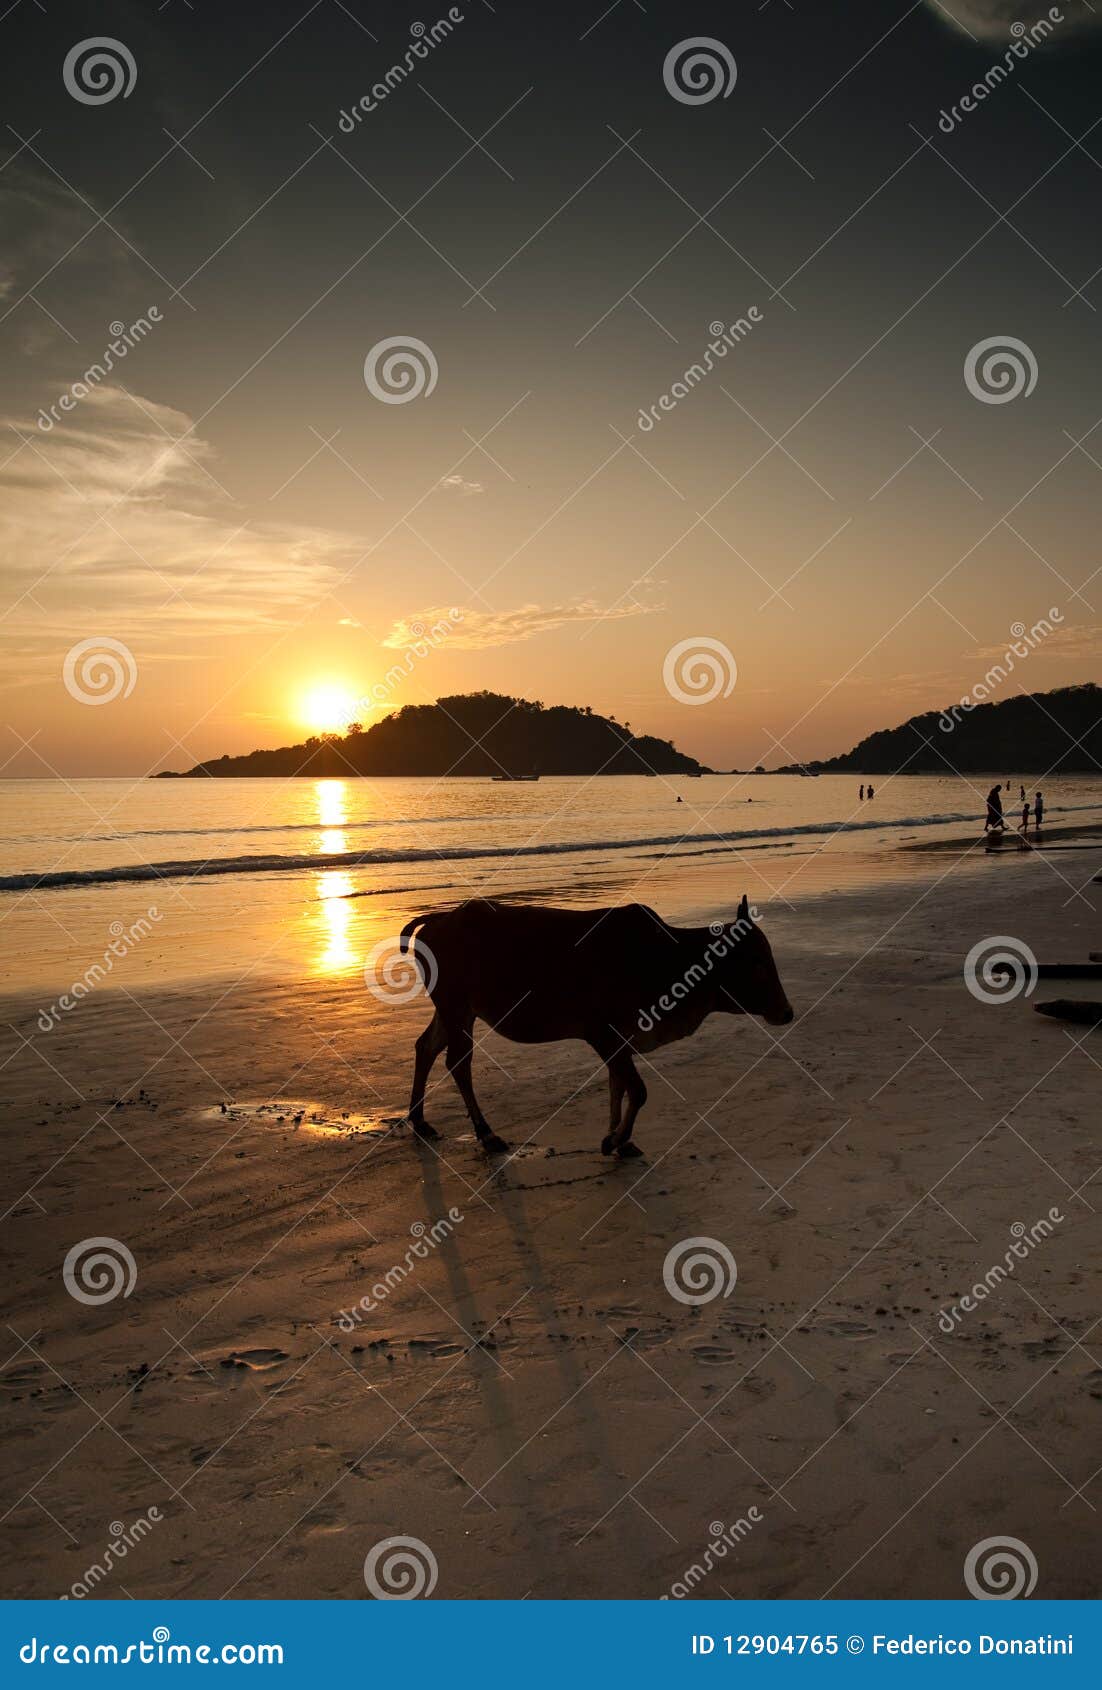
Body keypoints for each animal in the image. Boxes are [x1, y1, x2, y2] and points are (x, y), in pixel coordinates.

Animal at [398, 895, 793, 1159]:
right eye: (757, 962)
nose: (787, 1012)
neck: (669, 959)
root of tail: (439, 919)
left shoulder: (620, 1042)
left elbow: (618, 1086)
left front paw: (618, 1138)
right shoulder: (604, 1035)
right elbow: (638, 1090)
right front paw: (616, 1140)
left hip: (455, 1012)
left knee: (425, 1047)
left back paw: (420, 1121)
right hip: (457, 1011)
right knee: (458, 1064)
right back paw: (486, 1134)